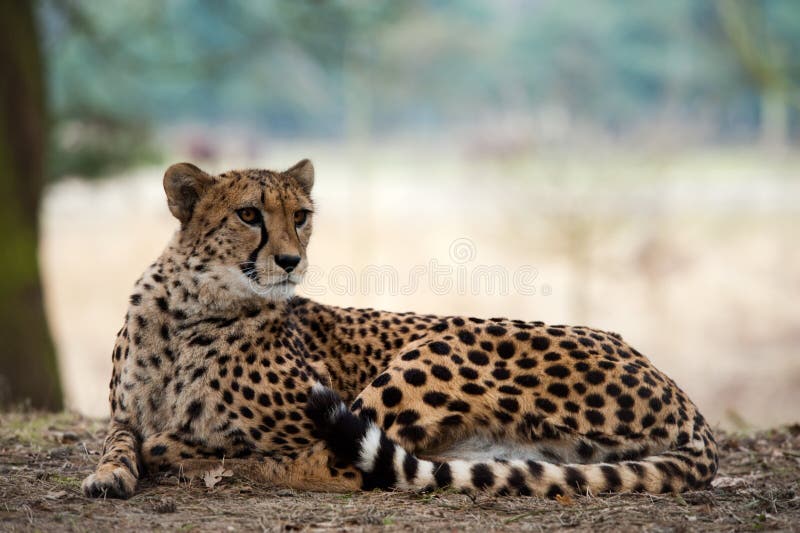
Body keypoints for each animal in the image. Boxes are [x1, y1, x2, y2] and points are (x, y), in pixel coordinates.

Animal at [82, 159, 718, 499]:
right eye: (248, 214)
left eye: (301, 216)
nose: (290, 261)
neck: (189, 309)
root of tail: (682, 397)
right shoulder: (124, 412)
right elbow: (117, 438)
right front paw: (108, 475)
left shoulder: (310, 409)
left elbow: (262, 446)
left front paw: (181, 448)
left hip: (442, 347)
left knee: (339, 464)